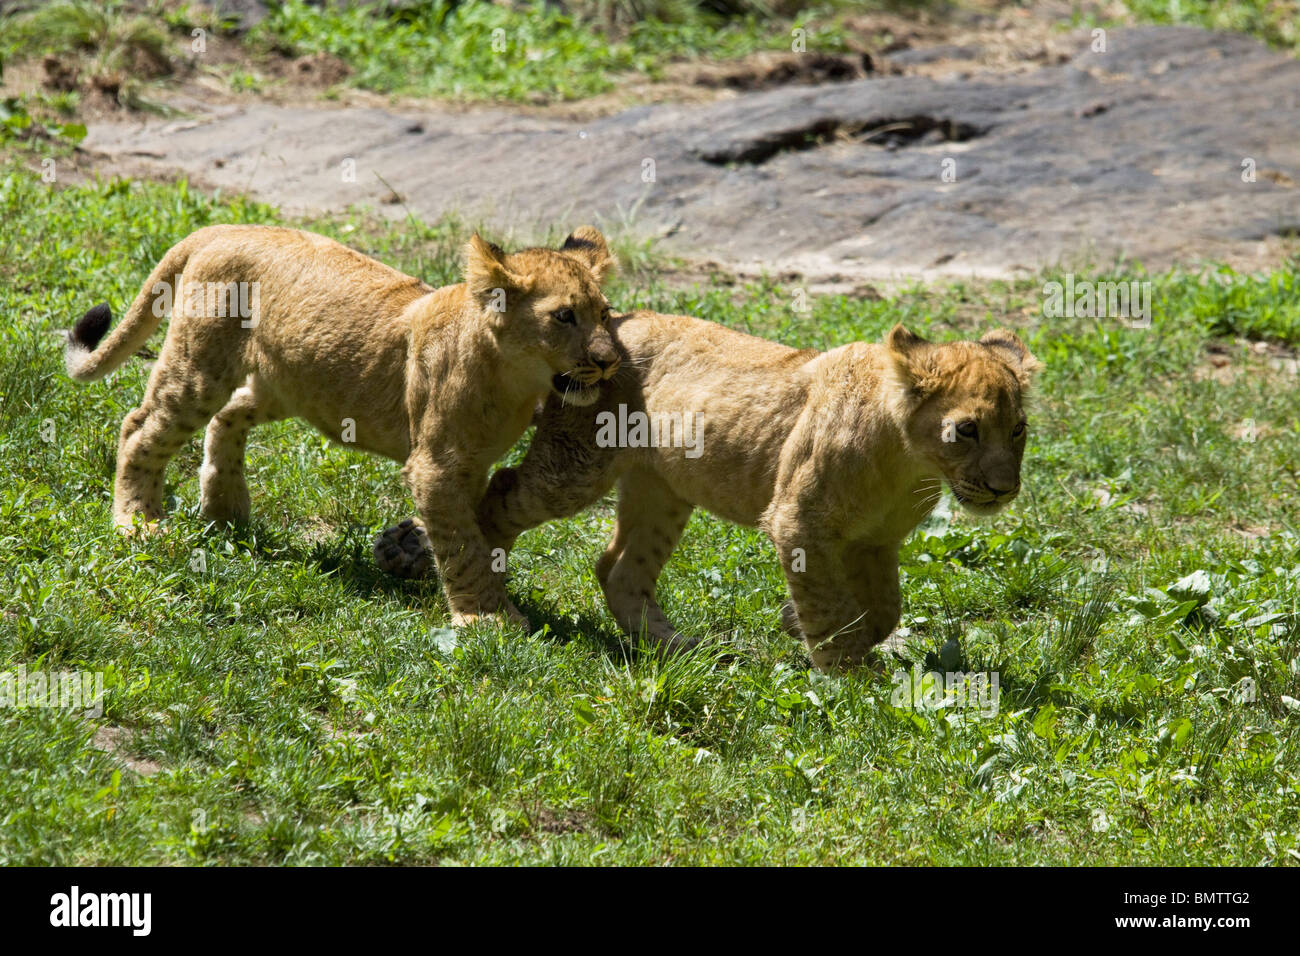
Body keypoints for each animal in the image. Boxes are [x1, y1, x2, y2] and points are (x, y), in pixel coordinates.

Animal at [64, 223, 618, 626]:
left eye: (605, 313)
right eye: (564, 316)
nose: (610, 361)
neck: (517, 383)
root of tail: (220, 228)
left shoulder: (472, 468)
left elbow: (478, 530)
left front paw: (418, 559)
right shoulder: (435, 468)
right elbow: (464, 546)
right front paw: (489, 620)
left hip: (285, 384)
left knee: (227, 416)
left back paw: (227, 512)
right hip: (201, 365)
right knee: (140, 426)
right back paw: (138, 522)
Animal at [380, 313, 1041, 670]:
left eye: (1018, 429)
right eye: (966, 430)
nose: (1004, 488)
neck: (912, 464)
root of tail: (606, 326)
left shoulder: (873, 543)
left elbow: (883, 610)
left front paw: (802, 629)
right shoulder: (799, 521)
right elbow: (833, 607)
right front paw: (850, 683)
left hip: (665, 488)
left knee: (617, 569)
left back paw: (682, 649)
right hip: (574, 470)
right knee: (496, 498)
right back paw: (477, 599)